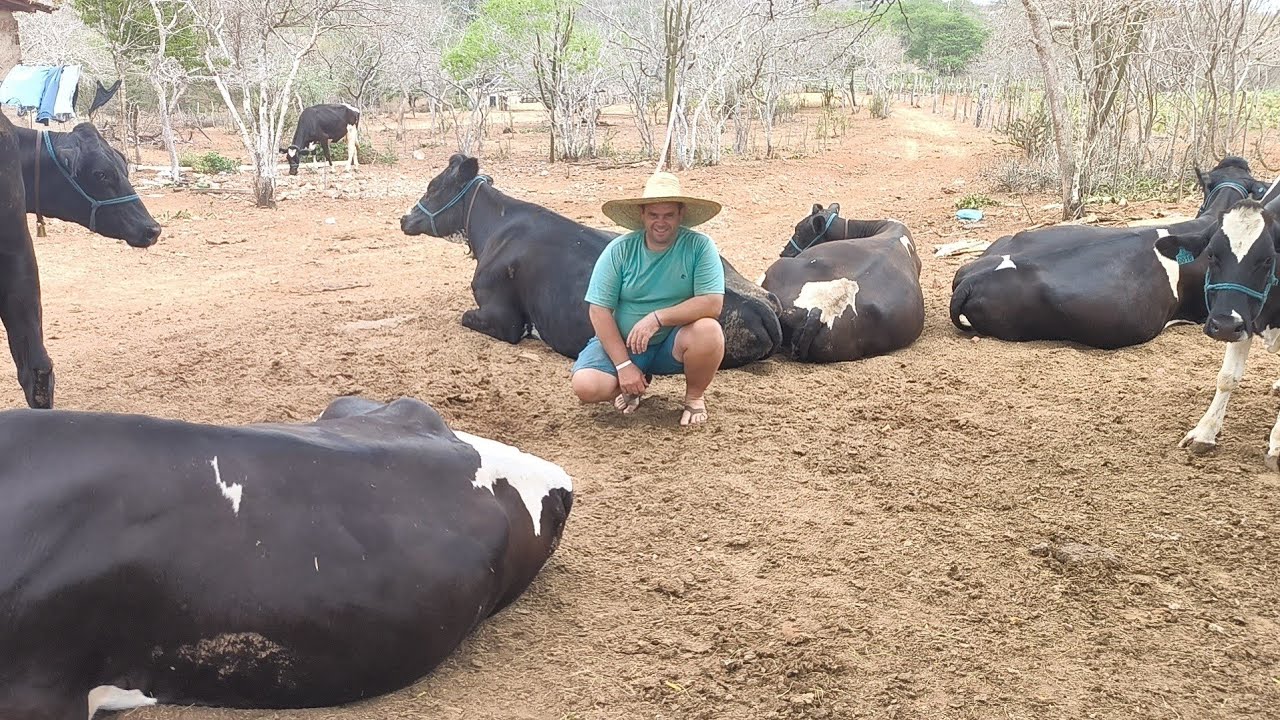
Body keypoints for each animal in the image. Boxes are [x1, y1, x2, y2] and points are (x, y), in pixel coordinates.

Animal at [398, 154, 783, 369]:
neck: (495, 229)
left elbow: (467, 317)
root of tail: (760, 304)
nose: (404, 218)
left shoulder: (503, 319)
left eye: (433, 186)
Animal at [1154, 199, 1280, 470]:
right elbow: (1227, 377)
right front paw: (1205, 432)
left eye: (1267, 259)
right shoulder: (1245, 321)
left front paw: (1277, 445)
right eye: (1211, 254)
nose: (1223, 324)